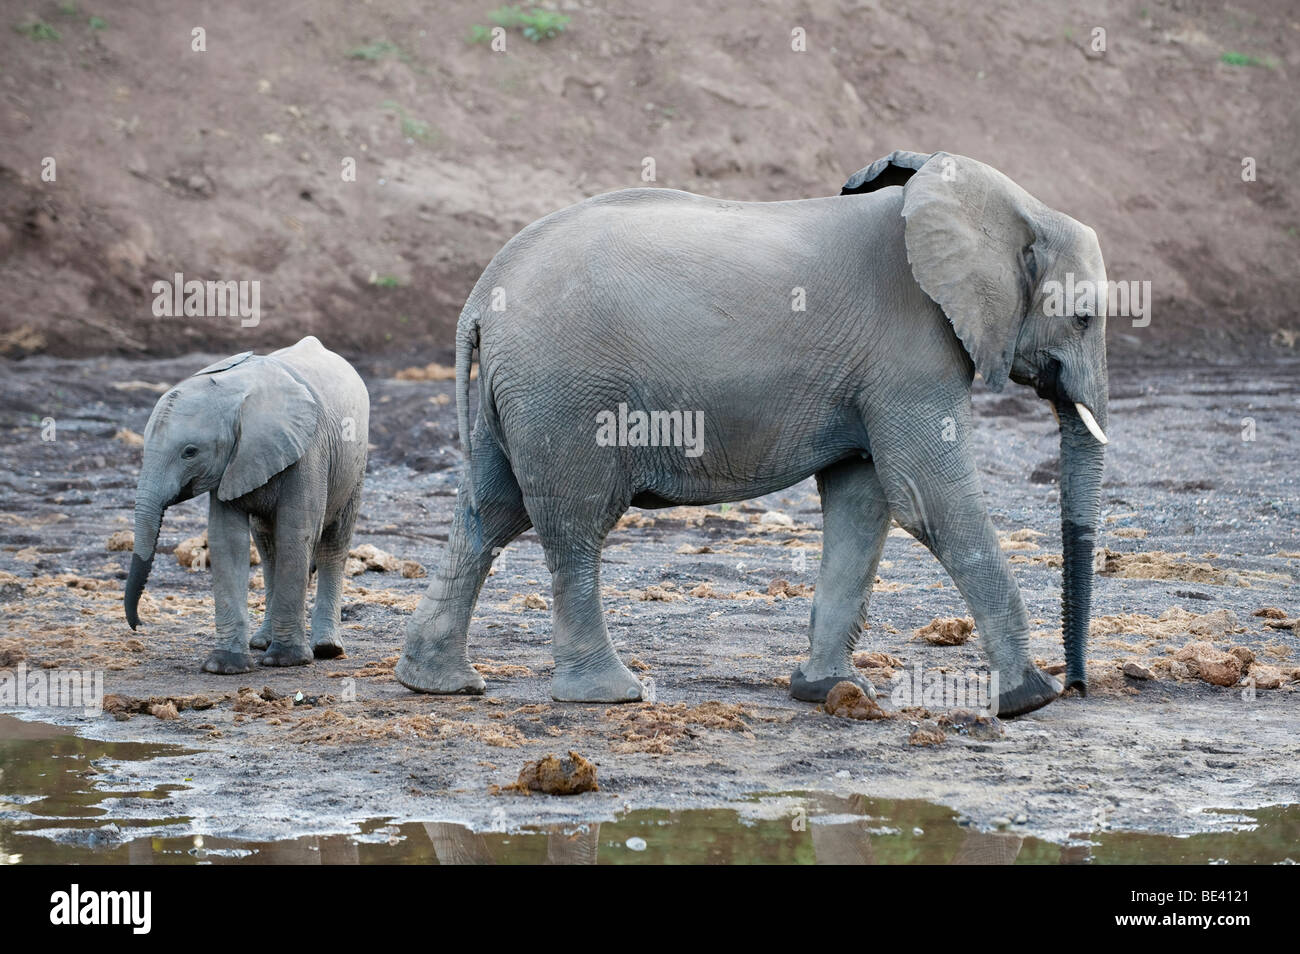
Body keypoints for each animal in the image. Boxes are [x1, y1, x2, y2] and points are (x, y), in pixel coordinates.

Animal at [124, 336, 370, 674]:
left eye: (190, 452)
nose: (139, 625)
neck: (236, 392)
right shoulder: (231, 463)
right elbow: (227, 541)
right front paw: (225, 666)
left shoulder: (310, 451)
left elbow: (297, 533)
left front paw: (286, 661)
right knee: (267, 548)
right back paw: (262, 643)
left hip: (354, 466)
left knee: (334, 543)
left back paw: (327, 649)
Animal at [395, 150, 1109, 717]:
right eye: (1083, 317)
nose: (1079, 688)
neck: (1007, 206)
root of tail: (482, 294)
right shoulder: (911, 353)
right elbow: (928, 499)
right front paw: (1029, 699)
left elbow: (863, 502)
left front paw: (825, 693)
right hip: (565, 392)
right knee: (573, 521)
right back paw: (608, 696)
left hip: (520, 391)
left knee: (491, 511)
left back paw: (436, 684)